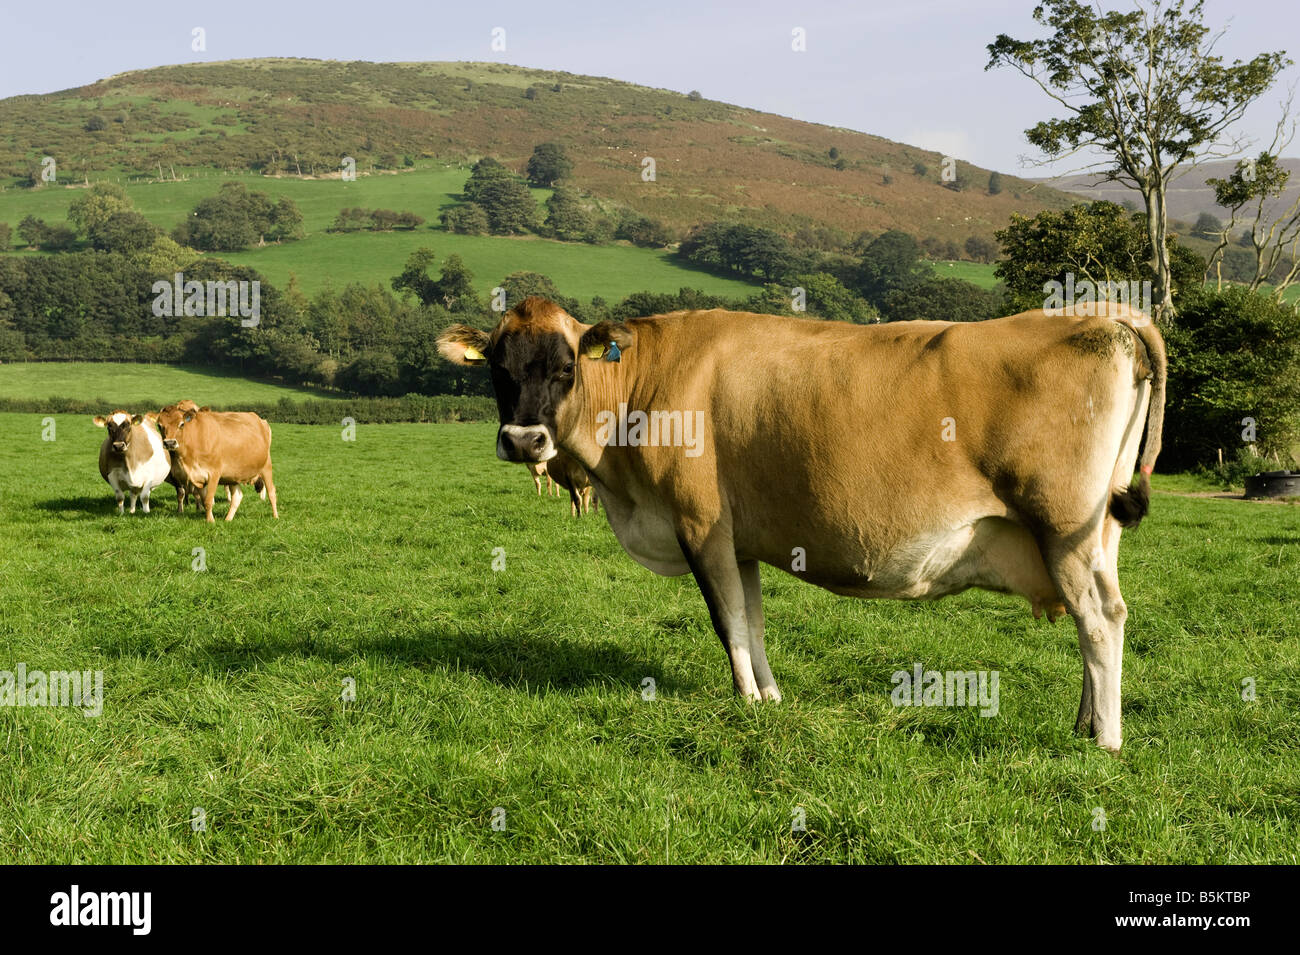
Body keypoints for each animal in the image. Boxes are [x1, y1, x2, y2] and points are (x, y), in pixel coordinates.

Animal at [437, 297, 1166, 752]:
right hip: (1094, 535)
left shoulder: (698, 523)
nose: (525, 440)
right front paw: (771, 694)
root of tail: (1107, 317)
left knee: (1100, 618)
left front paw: (746, 702)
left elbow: (726, 620)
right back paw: (1084, 721)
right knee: (1093, 617)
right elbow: (753, 618)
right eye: (498, 369)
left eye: (566, 367)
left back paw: (1105, 739)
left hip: (1064, 523)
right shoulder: (740, 537)